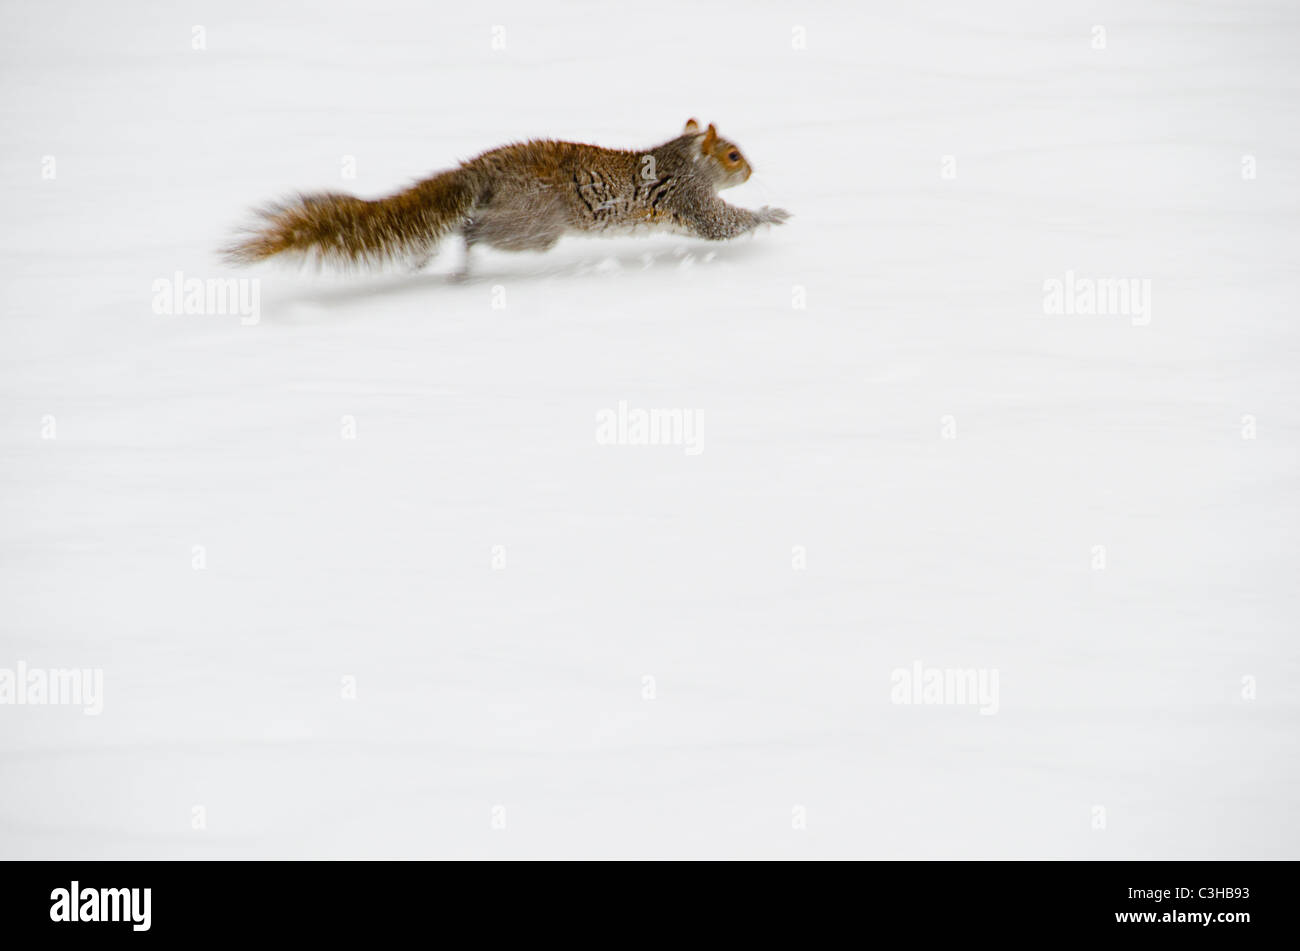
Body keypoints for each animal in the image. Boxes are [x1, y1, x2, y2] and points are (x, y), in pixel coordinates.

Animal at [225, 119, 789, 274]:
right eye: (733, 155)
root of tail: (479, 171)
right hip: (537, 227)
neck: (682, 159)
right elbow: (722, 223)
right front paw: (769, 213)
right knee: (472, 229)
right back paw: (458, 260)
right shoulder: (691, 198)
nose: (752, 169)